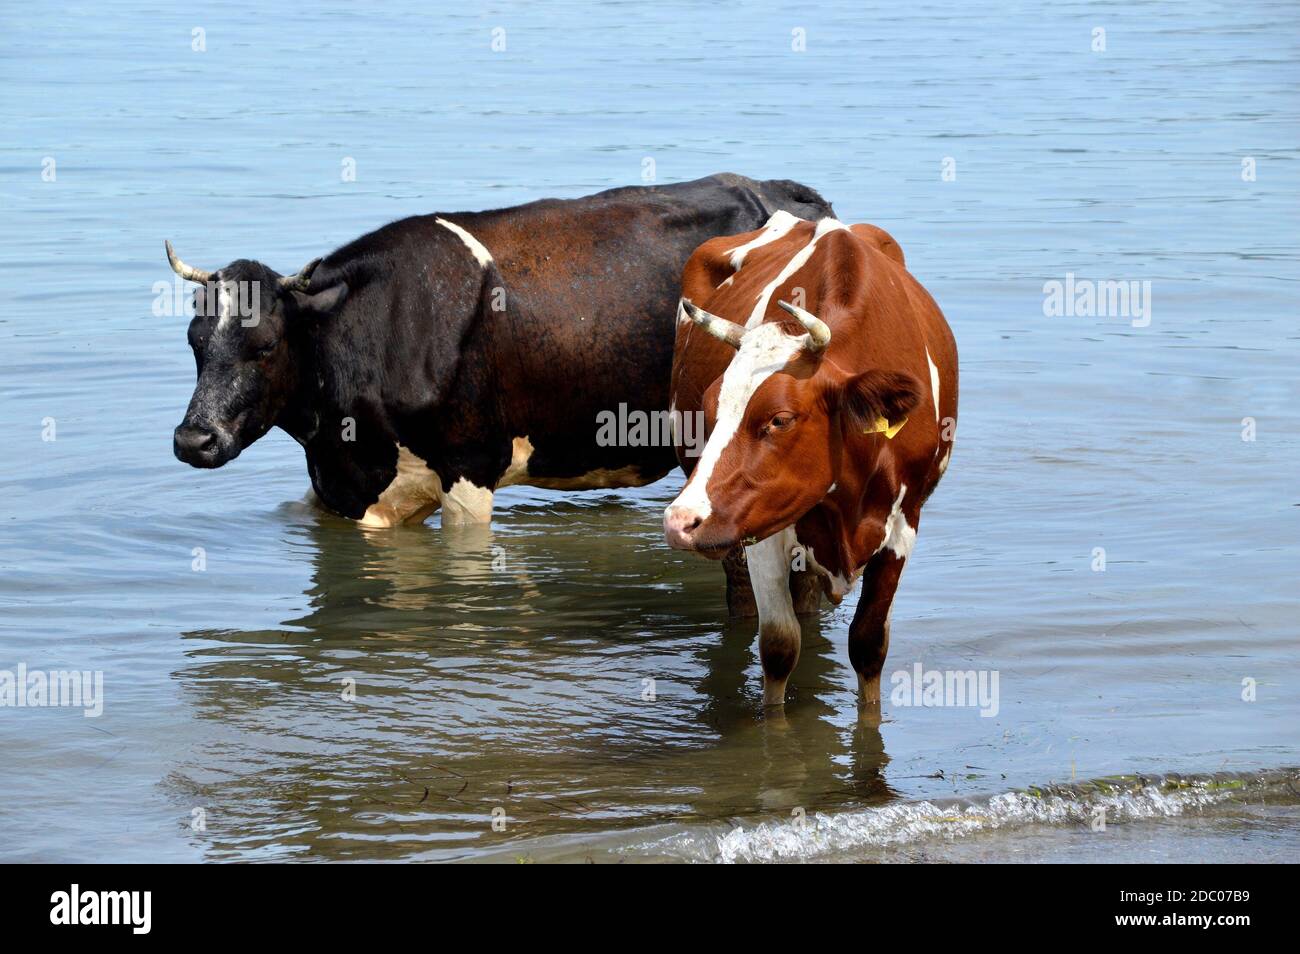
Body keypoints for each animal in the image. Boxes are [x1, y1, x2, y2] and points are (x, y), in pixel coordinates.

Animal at [663, 212, 958, 709]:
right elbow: (779, 646)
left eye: (779, 419)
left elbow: (868, 646)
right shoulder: (761, 528)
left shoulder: (904, 523)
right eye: (708, 408)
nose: (680, 521)